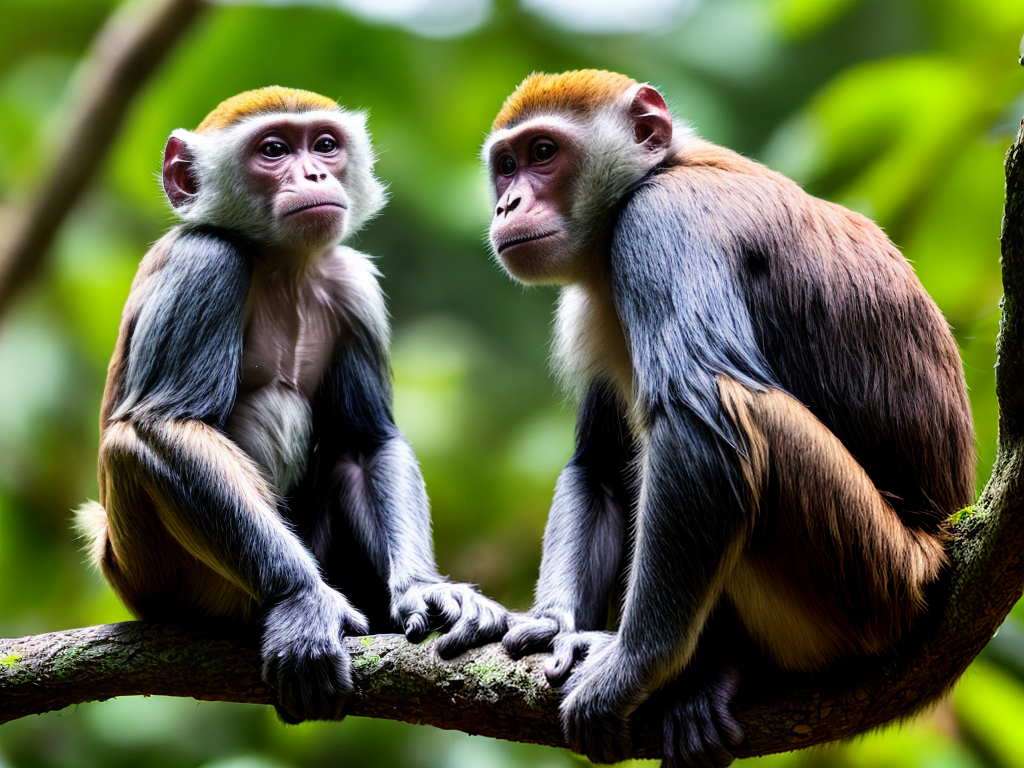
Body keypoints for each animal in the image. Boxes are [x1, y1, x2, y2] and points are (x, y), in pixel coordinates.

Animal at [76, 86, 508, 724]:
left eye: (325, 145)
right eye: (274, 150)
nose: (314, 174)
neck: (283, 269)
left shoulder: (354, 283)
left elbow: (367, 442)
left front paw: (424, 588)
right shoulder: (206, 260)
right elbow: (167, 424)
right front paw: (304, 602)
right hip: (156, 576)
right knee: (139, 445)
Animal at [481, 70, 975, 767]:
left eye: (543, 153)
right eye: (506, 166)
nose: (507, 205)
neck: (656, 172)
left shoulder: (662, 223)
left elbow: (702, 413)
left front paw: (626, 671)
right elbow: (598, 468)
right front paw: (556, 623)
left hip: (876, 578)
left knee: (749, 419)